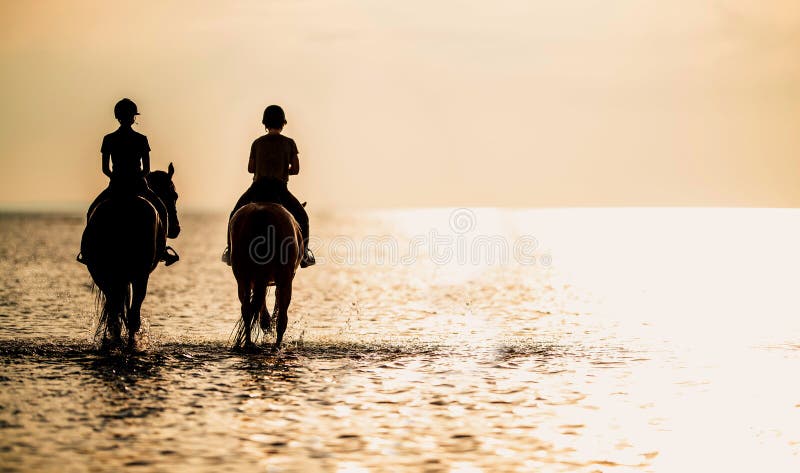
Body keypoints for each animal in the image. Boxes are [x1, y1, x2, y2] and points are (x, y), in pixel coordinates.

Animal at [80, 163, 180, 350]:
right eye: (174, 195)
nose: (175, 229)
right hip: (139, 275)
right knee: (131, 313)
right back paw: (130, 343)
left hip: (103, 275)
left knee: (114, 311)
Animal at [229, 202, 303, 350]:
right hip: (284, 278)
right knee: (282, 316)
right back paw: (277, 344)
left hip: (243, 278)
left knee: (246, 310)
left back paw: (248, 343)